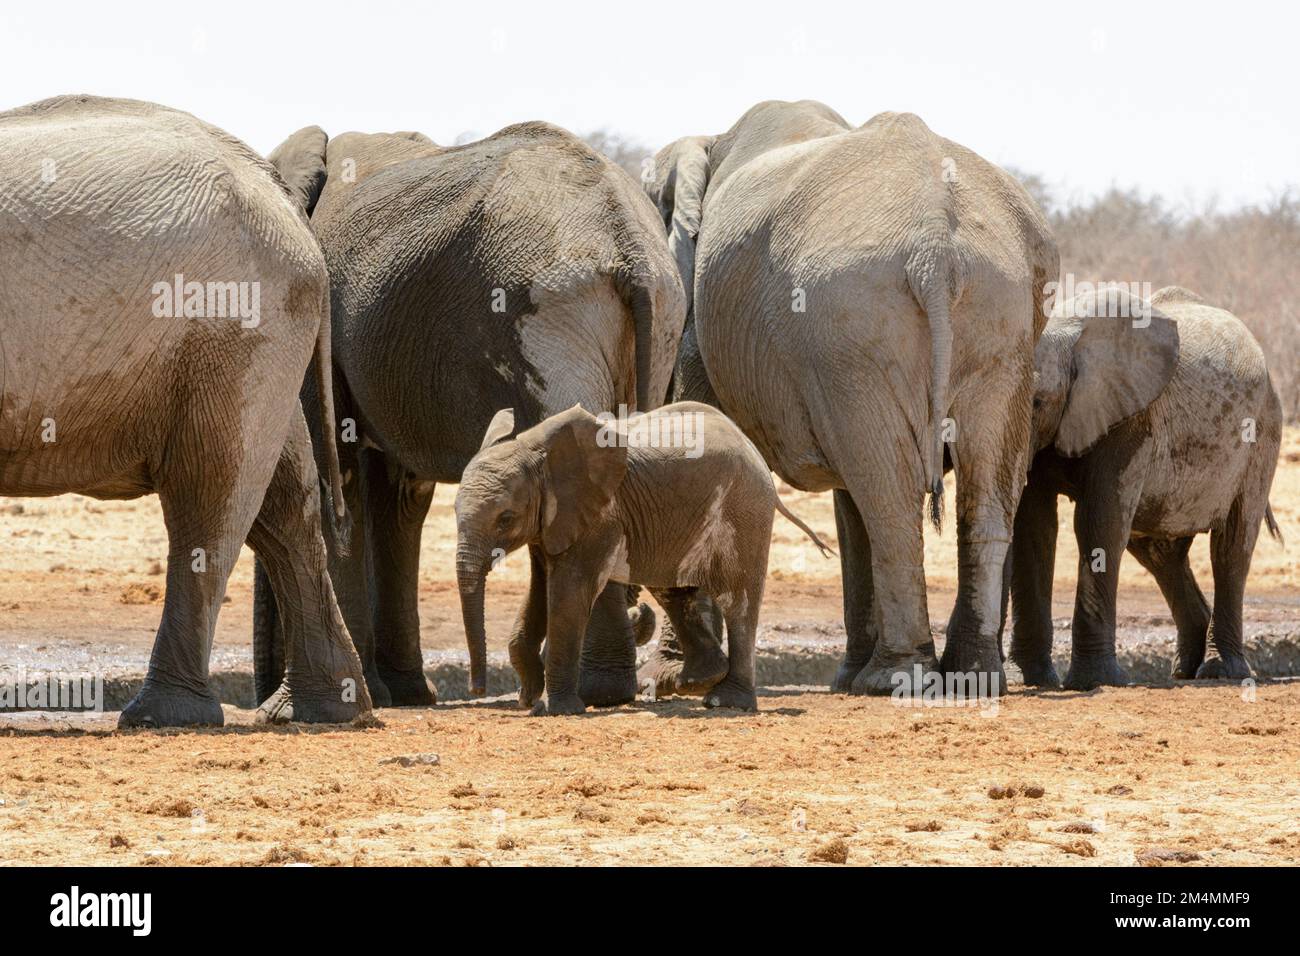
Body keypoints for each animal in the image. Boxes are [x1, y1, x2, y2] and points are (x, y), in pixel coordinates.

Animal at [0, 95, 369, 726]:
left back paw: (164, 715)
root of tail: (284, 202)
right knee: (283, 503)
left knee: (211, 495)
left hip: (231, 327)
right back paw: (320, 712)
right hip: (257, 337)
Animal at [257, 121, 686, 709]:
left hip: (548, 317)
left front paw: (367, 694)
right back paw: (602, 688)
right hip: (658, 321)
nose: (258, 688)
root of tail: (632, 252)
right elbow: (399, 499)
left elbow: (337, 478)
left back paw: (588, 687)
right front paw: (406, 693)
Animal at [454, 402, 833, 715]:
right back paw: (699, 681)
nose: (476, 690)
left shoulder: (600, 518)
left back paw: (725, 702)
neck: (535, 449)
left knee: (737, 601)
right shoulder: (553, 521)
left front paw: (553, 709)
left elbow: (568, 595)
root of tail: (752, 449)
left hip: (745, 510)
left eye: (505, 518)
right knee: (673, 588)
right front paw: (529, 697)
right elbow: (539, 592)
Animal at [645, 100, 1059, 697]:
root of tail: (937, 248)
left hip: (850, 322)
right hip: (1002, 319)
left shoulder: (705, 328)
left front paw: (677, 681)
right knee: (979, 491)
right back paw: (969, 676)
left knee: (889, 495)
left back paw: (893, 678)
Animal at [1005, 285, 1284, 689]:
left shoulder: (1131, 417)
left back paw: (1221, 672)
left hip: (1262, 433)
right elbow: (1034, 526)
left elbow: (1098, 523)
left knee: (1231, 544)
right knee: (1159, 553)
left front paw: (1095, 682)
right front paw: (1032, 681)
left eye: (1038, 401)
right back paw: (1184, 671)